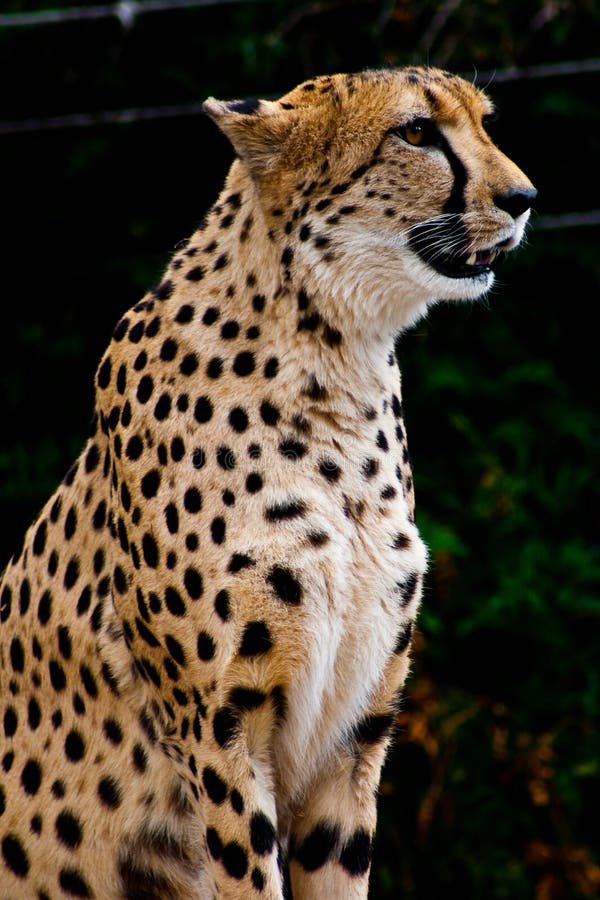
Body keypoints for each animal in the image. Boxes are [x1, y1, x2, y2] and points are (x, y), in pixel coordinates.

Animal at [0, 66, 535, 900]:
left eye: (485, 122)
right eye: (417, 132)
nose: (525, 198)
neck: (336, 370)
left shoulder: (354, 734)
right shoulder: (220, 731)